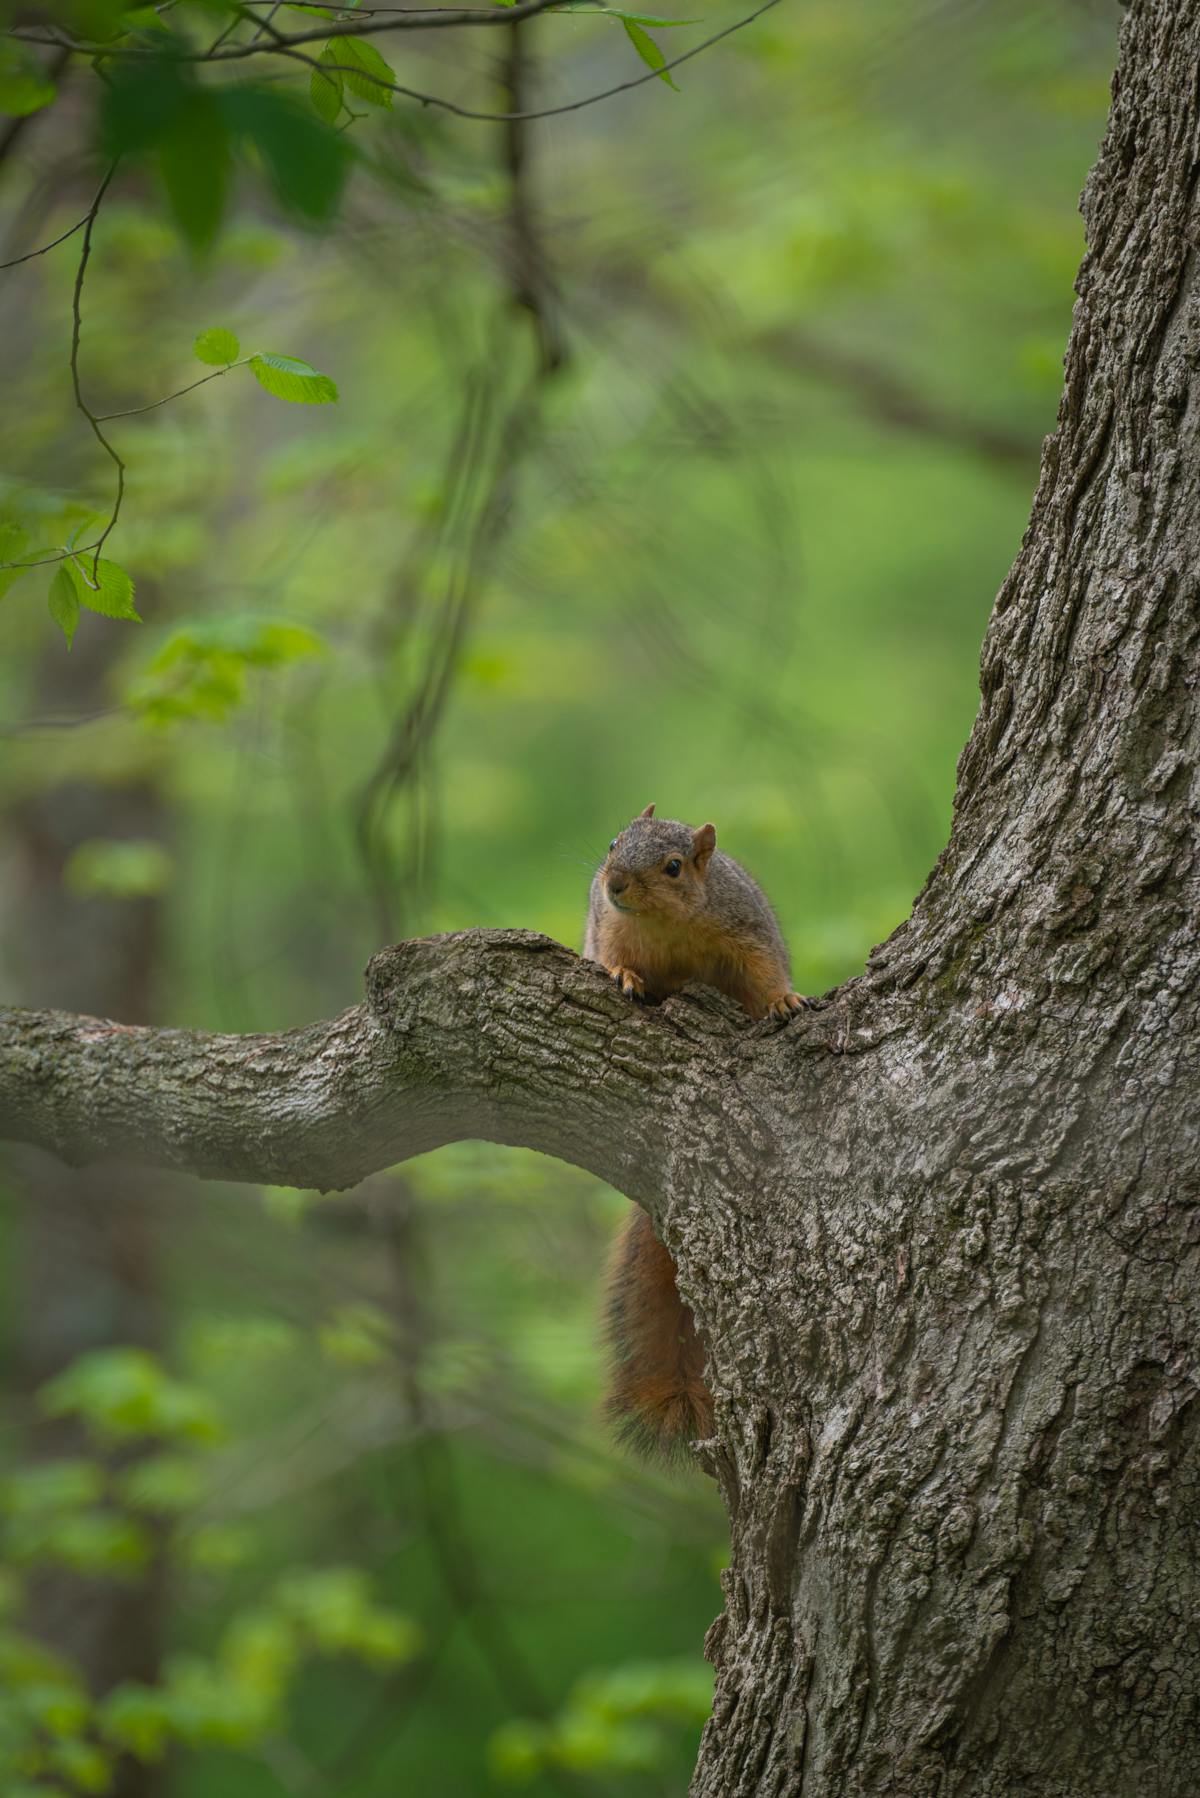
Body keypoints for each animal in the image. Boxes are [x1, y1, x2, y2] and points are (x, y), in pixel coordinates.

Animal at [585, 803, 805, 1460]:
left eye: (674, 866)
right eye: (614, 841)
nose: (614, 884)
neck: (666, 925)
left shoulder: (745, 930)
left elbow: (766, 973)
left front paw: (784, 1001)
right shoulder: (609, 929)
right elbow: (611, 956)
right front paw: (625, 976)